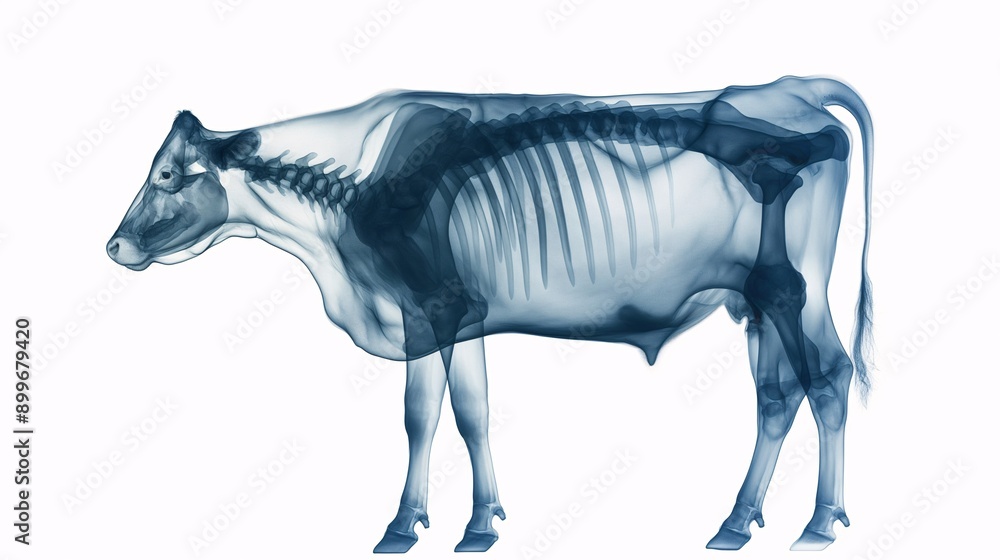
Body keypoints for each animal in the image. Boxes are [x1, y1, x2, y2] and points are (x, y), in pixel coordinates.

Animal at [107, 75, 873, 553]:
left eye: (167, 175)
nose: (114, 245)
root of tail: (793, 86)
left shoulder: (433, 306)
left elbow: (434, 416)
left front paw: (420, 528)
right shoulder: (453, 315)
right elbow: (456, 412)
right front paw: (457, 524)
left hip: (796, 288)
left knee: (828, 379)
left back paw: (819, 525)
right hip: (757, 302)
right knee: (776, 395)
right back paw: (737, 523)